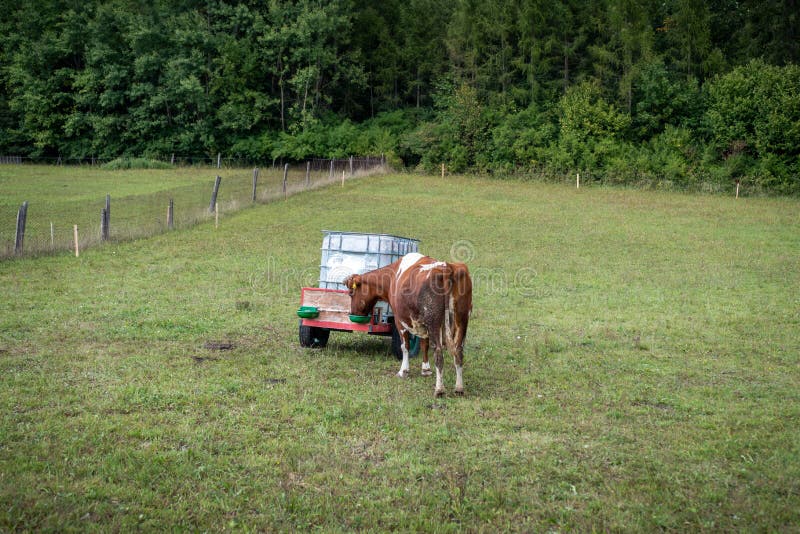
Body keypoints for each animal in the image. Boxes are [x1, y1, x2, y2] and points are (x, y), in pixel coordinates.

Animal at [344, 252, 472, 397]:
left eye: (351, 293)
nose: (352, 313)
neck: (393, 276)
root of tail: (447, 267)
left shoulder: (399, 320)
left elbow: (405, 346)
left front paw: (403, 371)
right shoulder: (421, 322)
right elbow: (424, 344)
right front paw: (426, 369)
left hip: (434, 321)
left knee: (439, 353)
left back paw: (439, 389)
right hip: (462, 319)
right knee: (459, 351)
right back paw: (459, 388)